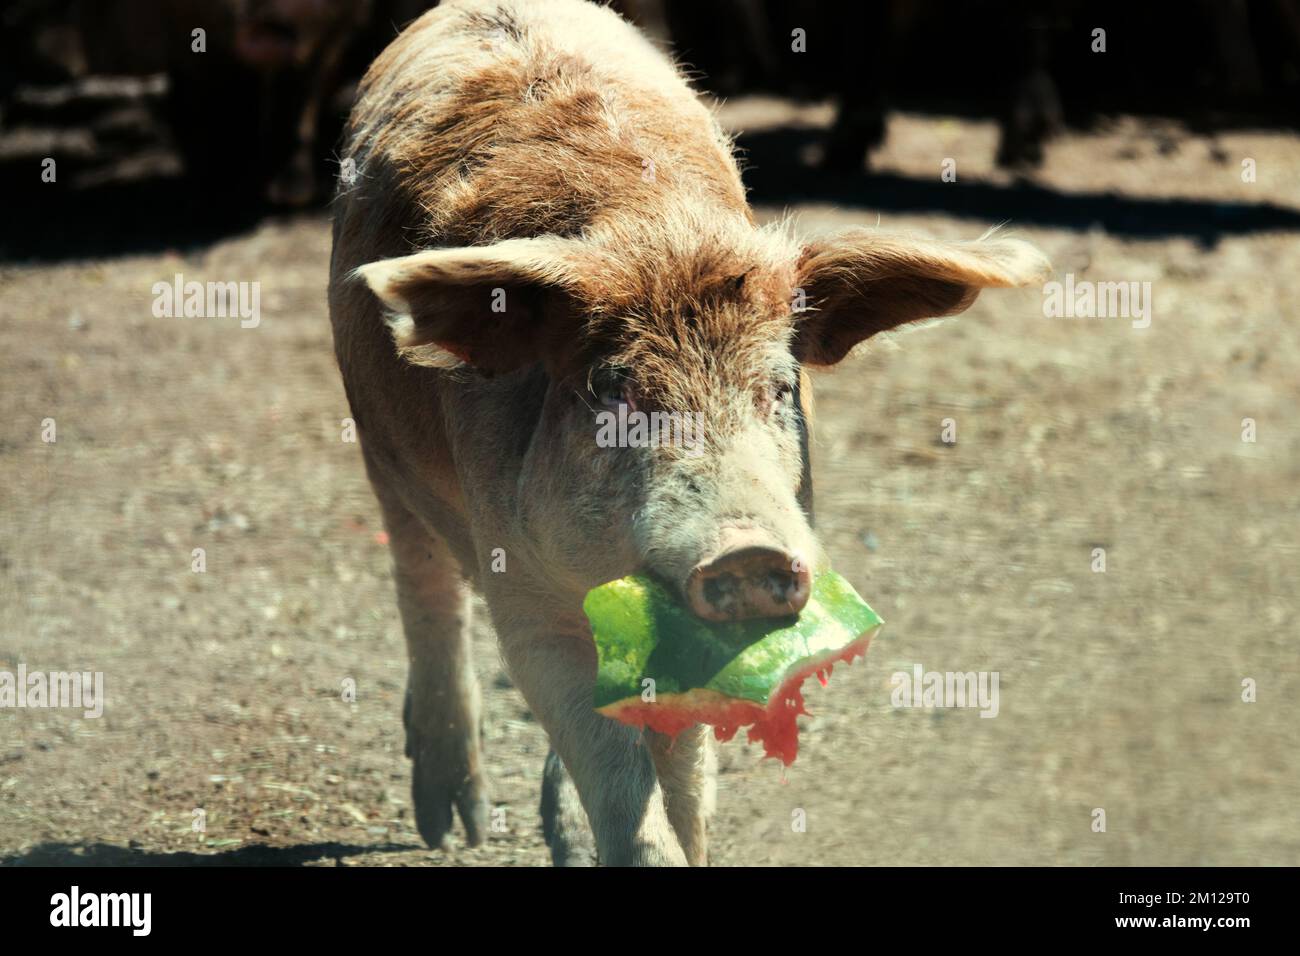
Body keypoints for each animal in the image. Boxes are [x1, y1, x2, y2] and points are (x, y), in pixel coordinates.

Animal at [328, 0, 1049, 866]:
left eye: (778, 388)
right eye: (611, 389)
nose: (748, 551)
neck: (657, 234)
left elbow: (687, 771)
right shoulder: (522, 590)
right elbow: (614, 773)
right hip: (380, 449)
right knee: (422, 579)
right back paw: (451, 827)